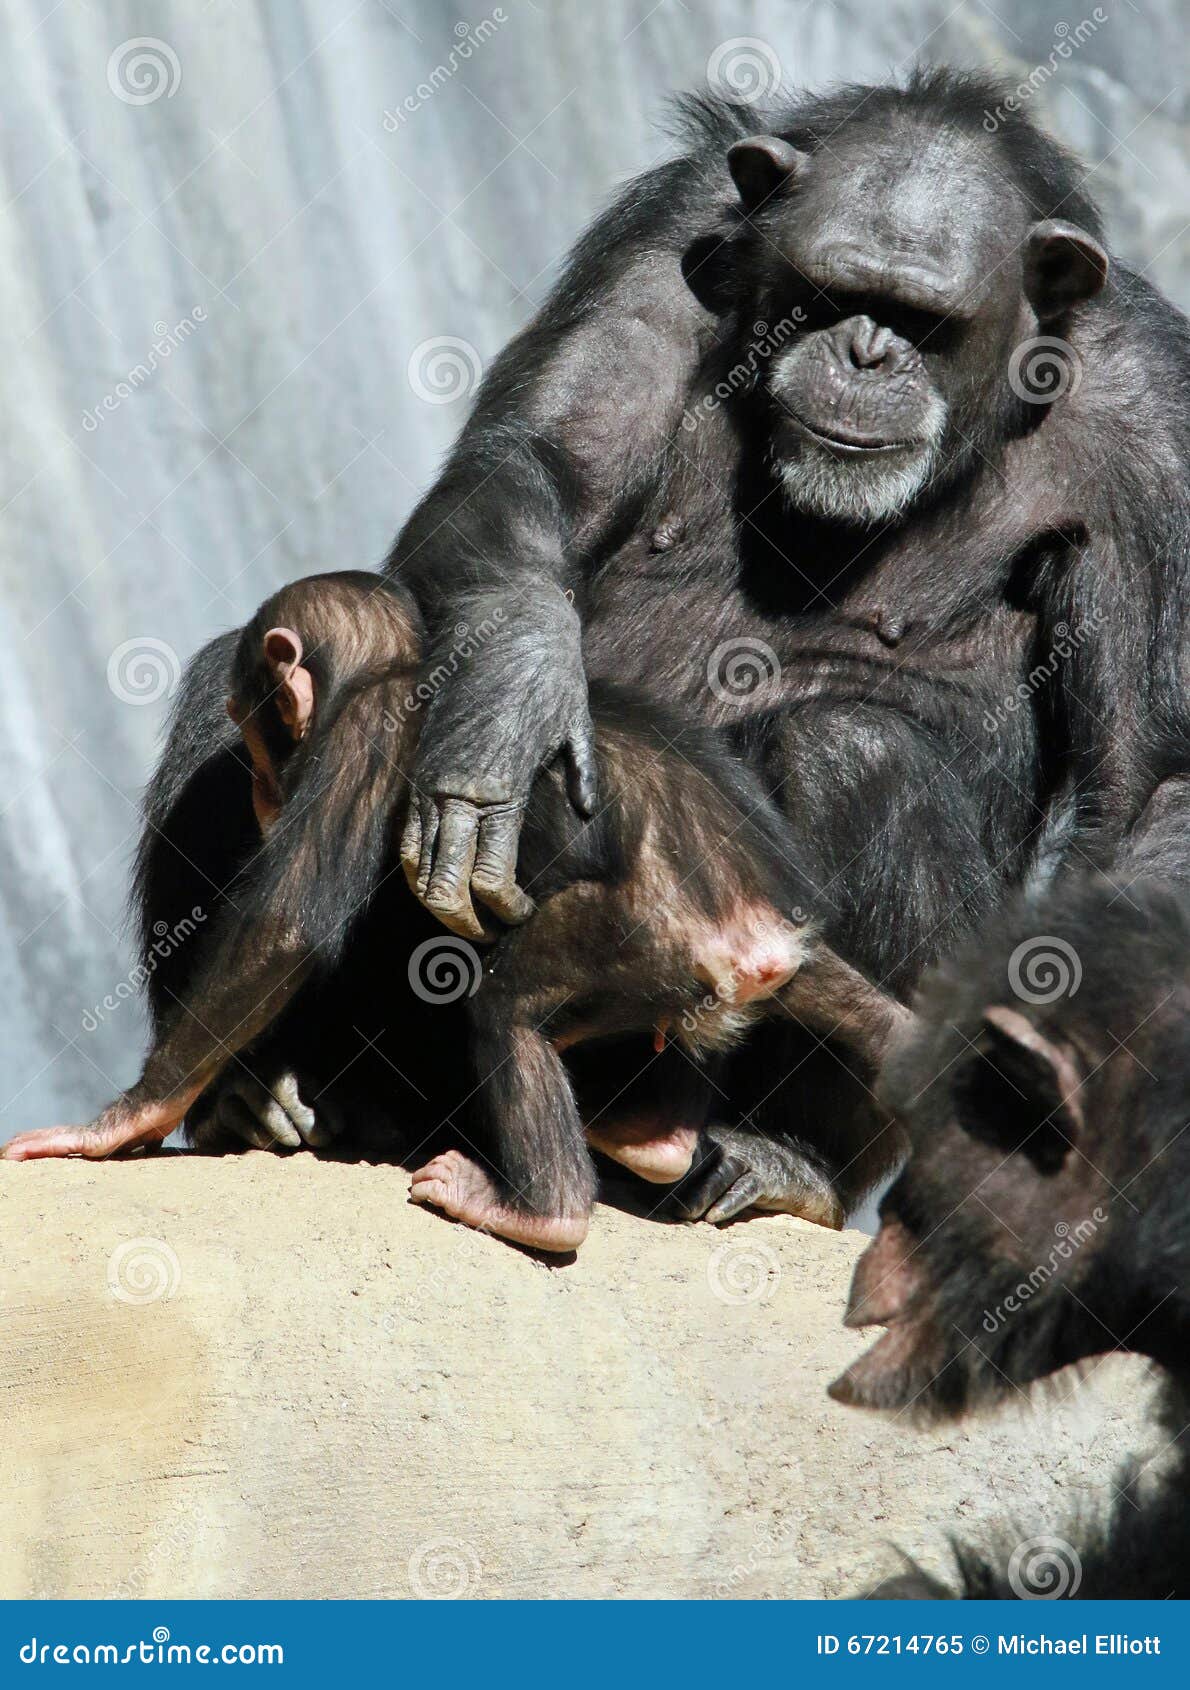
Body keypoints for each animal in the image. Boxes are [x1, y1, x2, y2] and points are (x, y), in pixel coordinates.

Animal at [4, 572, 909, 1252]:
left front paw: (118, 1123)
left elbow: (286, 927)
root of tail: (755, 940)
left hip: (646, 938)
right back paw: (658, 1136)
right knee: (876, 1020)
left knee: (509, 1006)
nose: (260, 782)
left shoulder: (364, 731)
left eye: (249, 724)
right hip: (797, 958)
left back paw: (542, 1211)